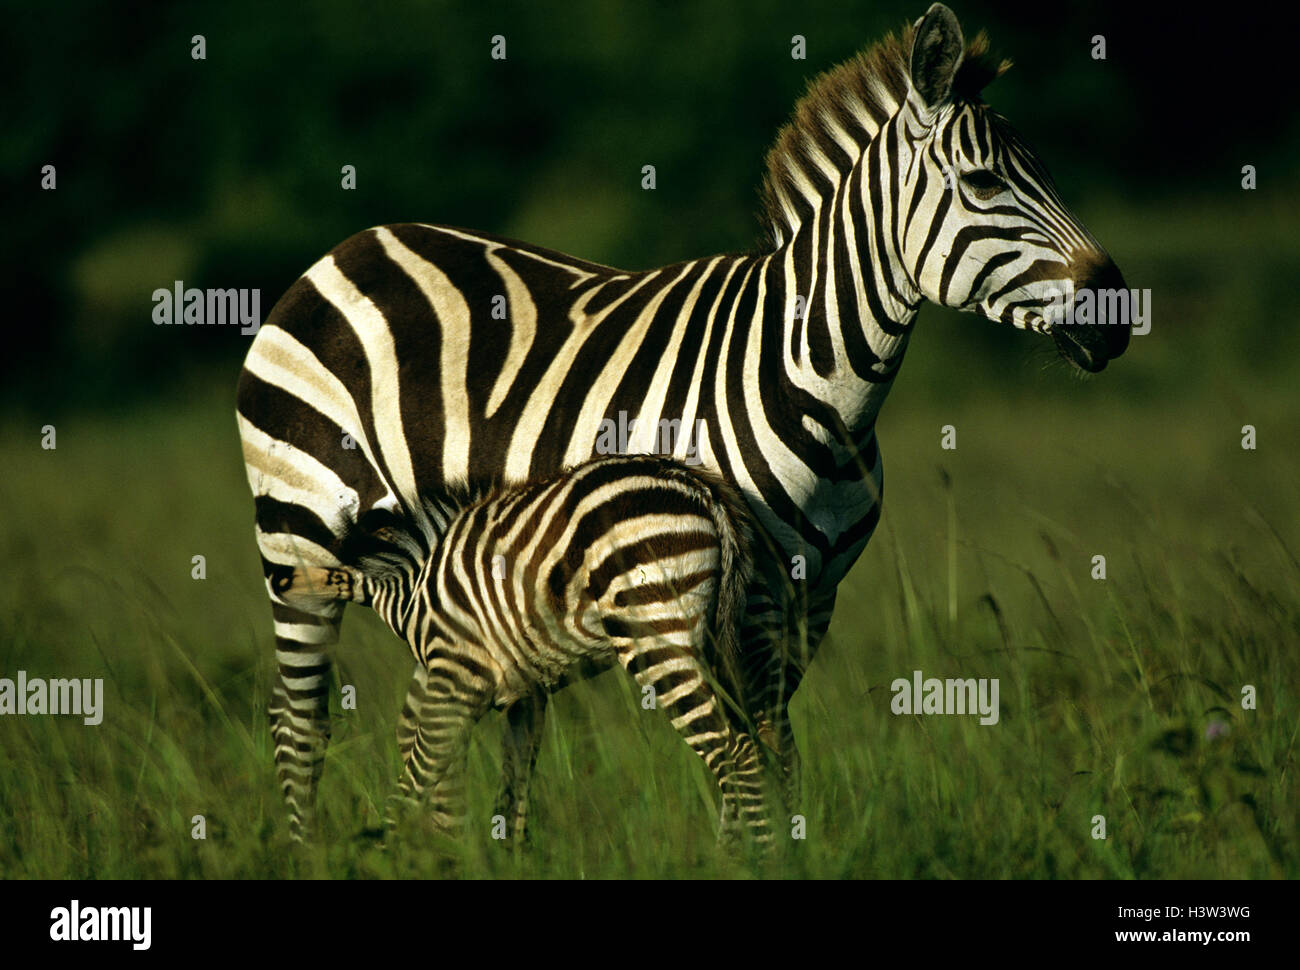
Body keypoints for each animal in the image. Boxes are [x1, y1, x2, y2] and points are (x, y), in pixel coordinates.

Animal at [271, 454, 771, 846]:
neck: (409, 601)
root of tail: (699, 488)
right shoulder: (525, 694)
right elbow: (512, 795)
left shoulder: (456, 680)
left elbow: (416, 777)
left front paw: (390, 851)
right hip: (716, 639)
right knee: (753, 743)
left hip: (655, 632)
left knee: (737, 753)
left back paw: (752, 858)